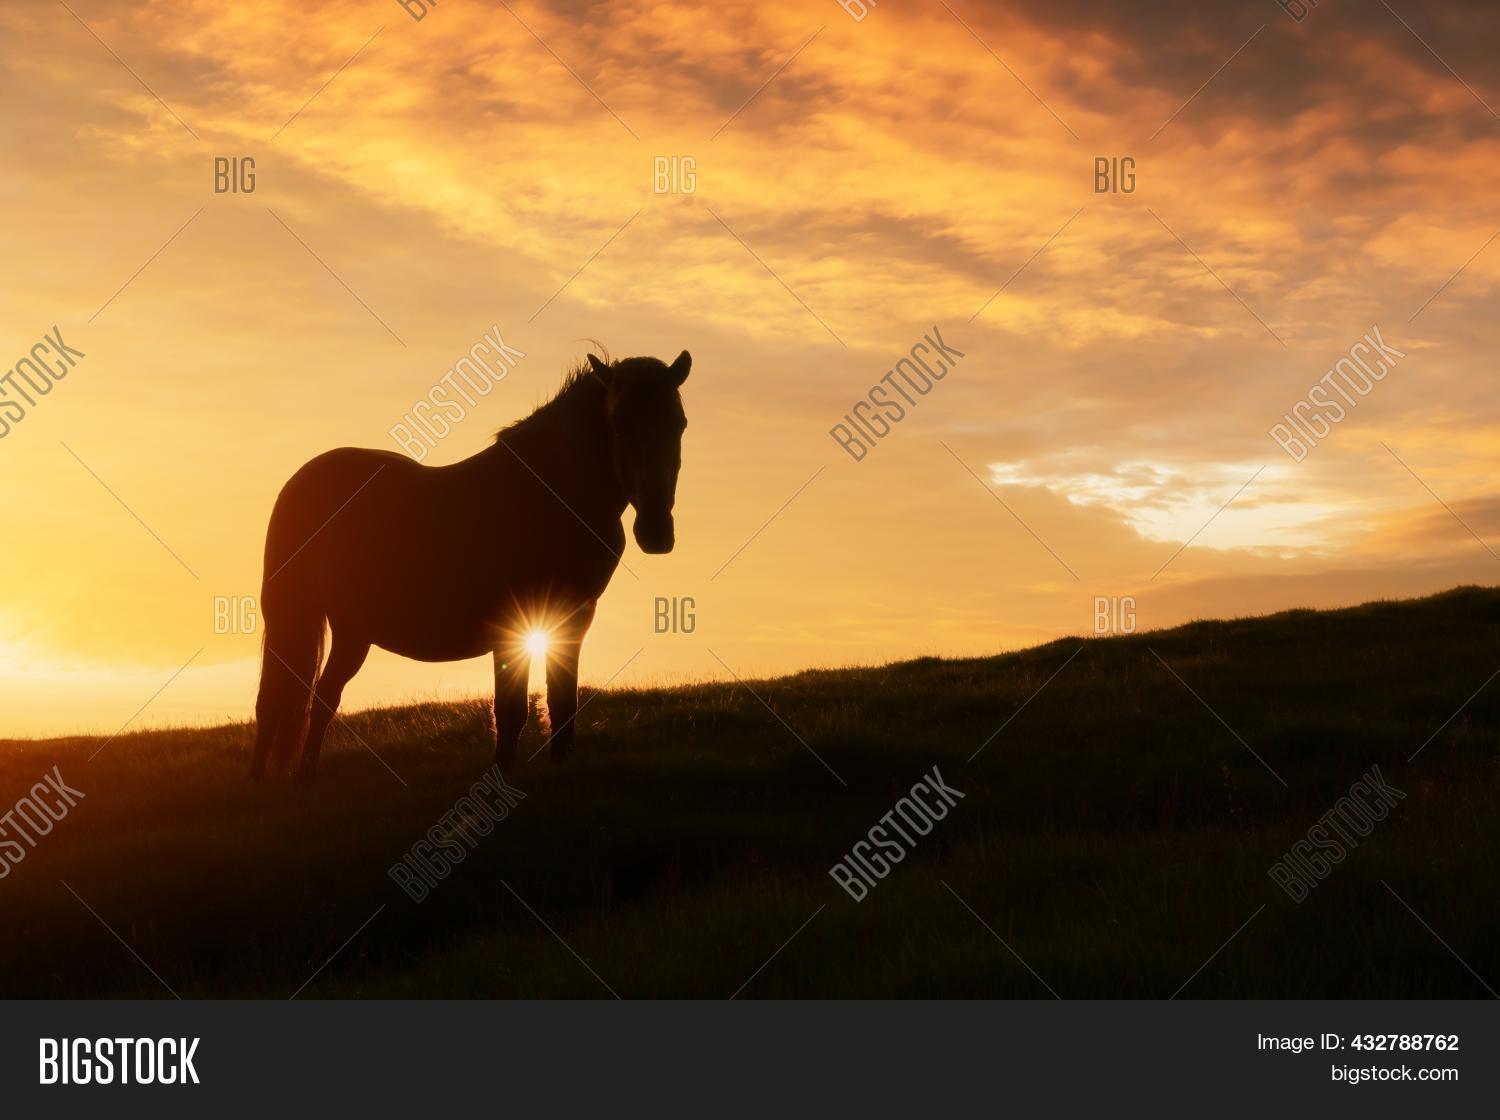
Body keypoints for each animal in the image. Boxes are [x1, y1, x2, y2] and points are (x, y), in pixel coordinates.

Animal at [248, 349, 691, 782]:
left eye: (680, 425)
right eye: (618, 425)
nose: (655, 532)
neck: (551, 495)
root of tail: (301, 480)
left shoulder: (574, 617)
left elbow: (563, 701)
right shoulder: (514, 621)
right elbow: (511, 709)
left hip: (352, 630)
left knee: (324, 695)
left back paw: (307, 775)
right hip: (294, 618)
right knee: (271, 701)